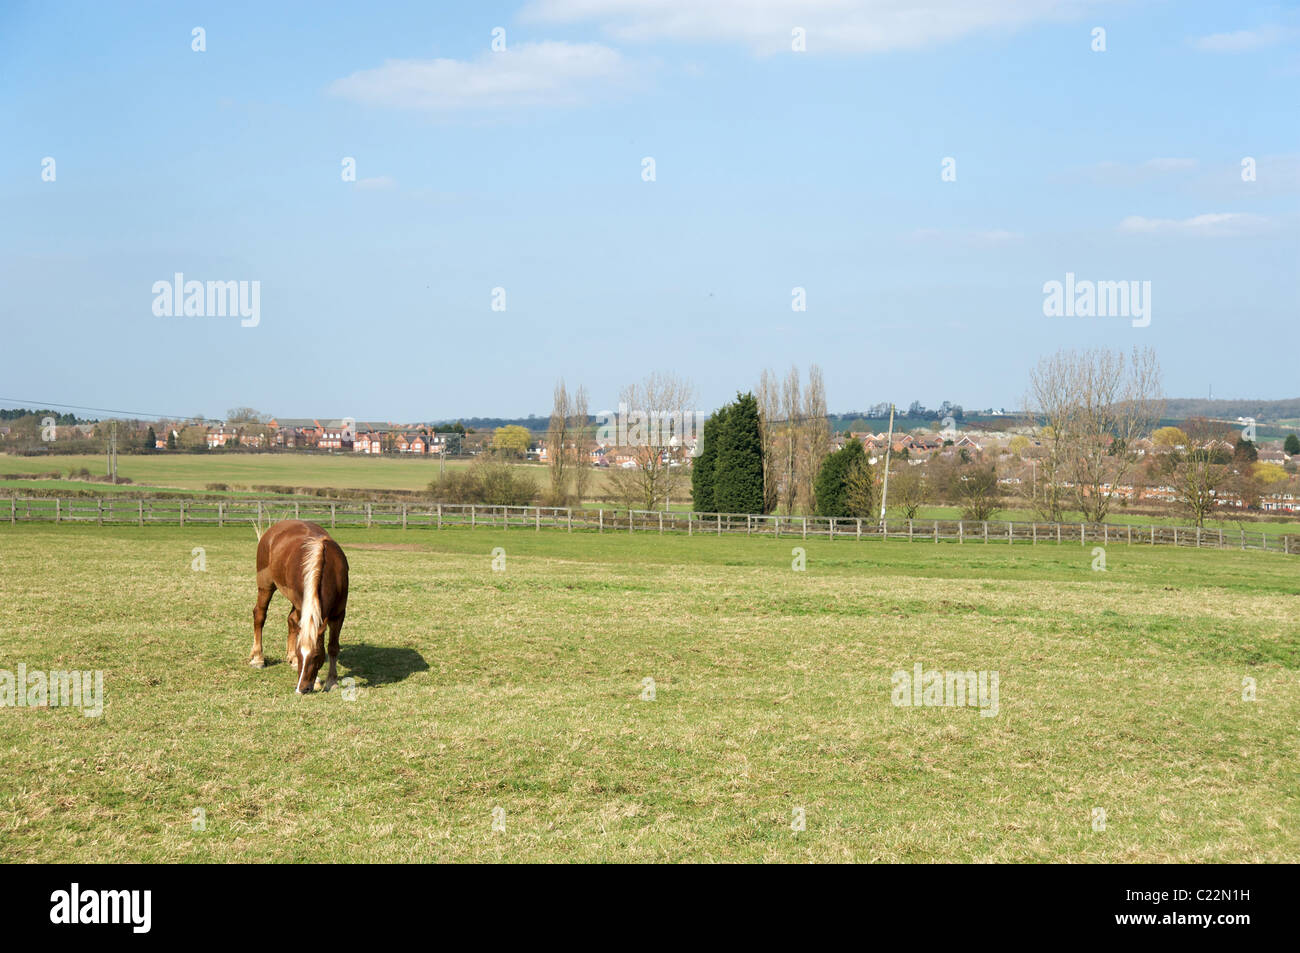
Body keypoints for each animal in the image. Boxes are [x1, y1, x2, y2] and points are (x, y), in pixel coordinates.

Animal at [249, 519, 349, 694]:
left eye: (316, 656)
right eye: (300, 652)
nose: (302, 688)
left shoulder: (339, 614)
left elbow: (333, 647)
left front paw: (332, 681)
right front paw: (317, 680)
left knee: (291, 620)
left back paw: (290, 659)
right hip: (265, 585)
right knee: (260, 615)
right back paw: (258, 658)